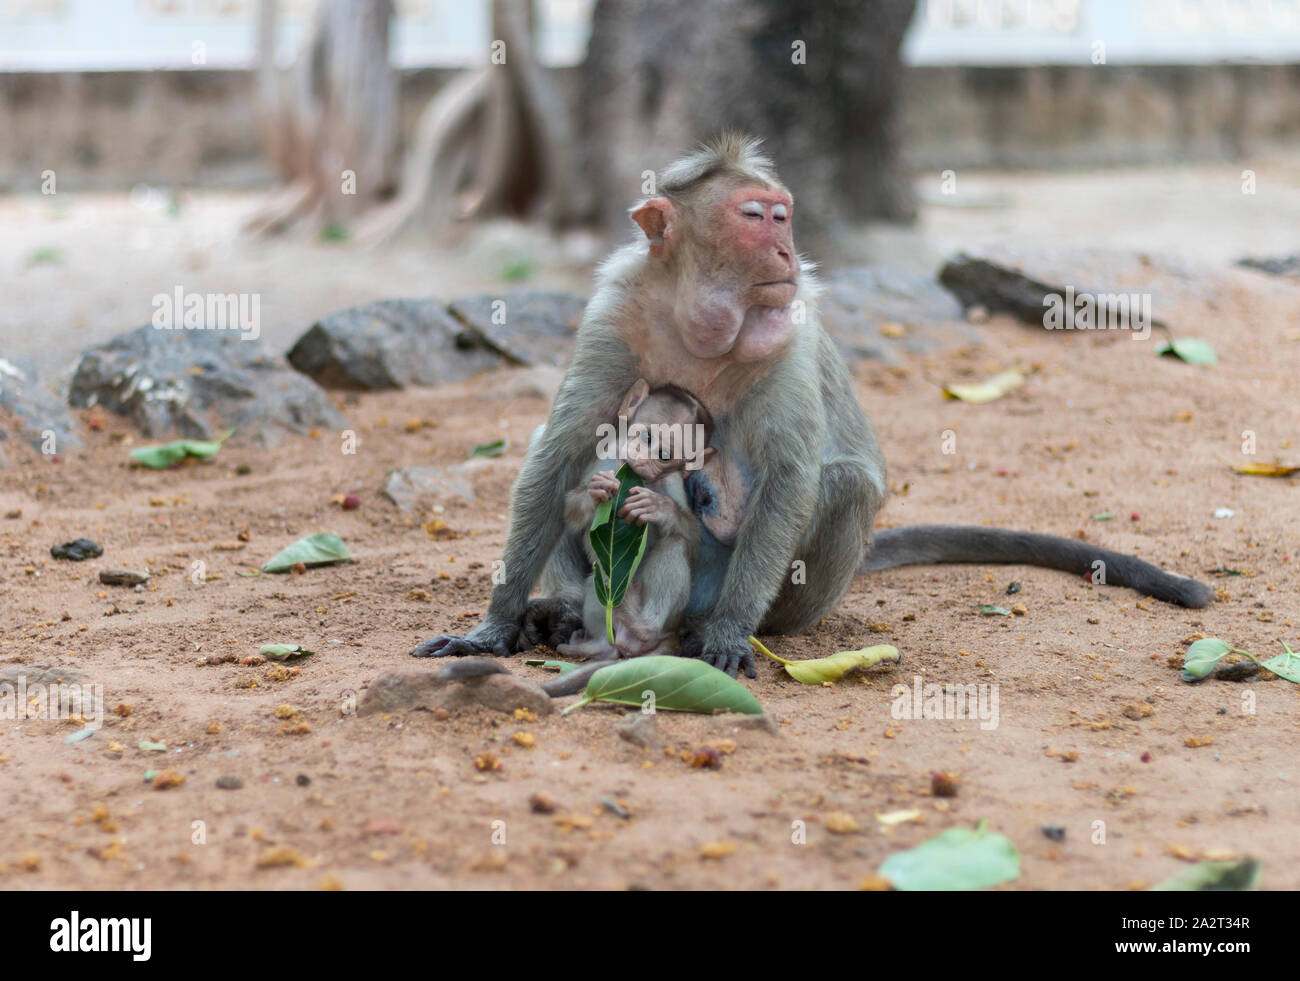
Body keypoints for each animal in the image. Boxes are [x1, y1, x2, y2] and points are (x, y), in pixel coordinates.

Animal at [556, 378, 715, 662]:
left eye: (664, 455)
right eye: (647, 436)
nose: (641, 460)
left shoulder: (672, 480)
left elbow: (692, 536)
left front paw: (658, 507)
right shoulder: (603, 457)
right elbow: (571, 511)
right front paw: (595, 493)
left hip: (671, 619)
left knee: (674, 544)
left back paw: (644, 628)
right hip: (608, 601)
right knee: (600, 578)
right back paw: (598, 645)